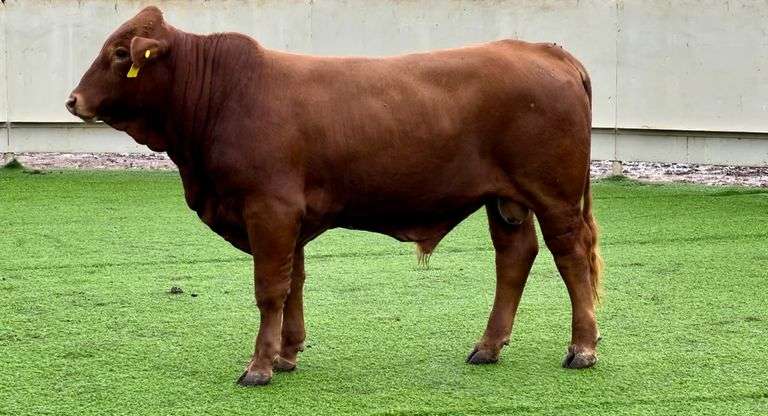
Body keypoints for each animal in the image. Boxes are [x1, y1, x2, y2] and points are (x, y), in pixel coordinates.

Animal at [67, 6, 603, 386]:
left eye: (121, 54)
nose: (73, 100)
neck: (225, 94)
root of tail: (546, 50)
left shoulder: (270, 210)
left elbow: (269, 289)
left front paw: (259, 366)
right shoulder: (290, 219)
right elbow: (293, 283)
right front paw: (286, 354)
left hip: (554, 196)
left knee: (570, 258)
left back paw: (583, 348)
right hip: (505, 200)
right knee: (515, 257)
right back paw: (488, 346)